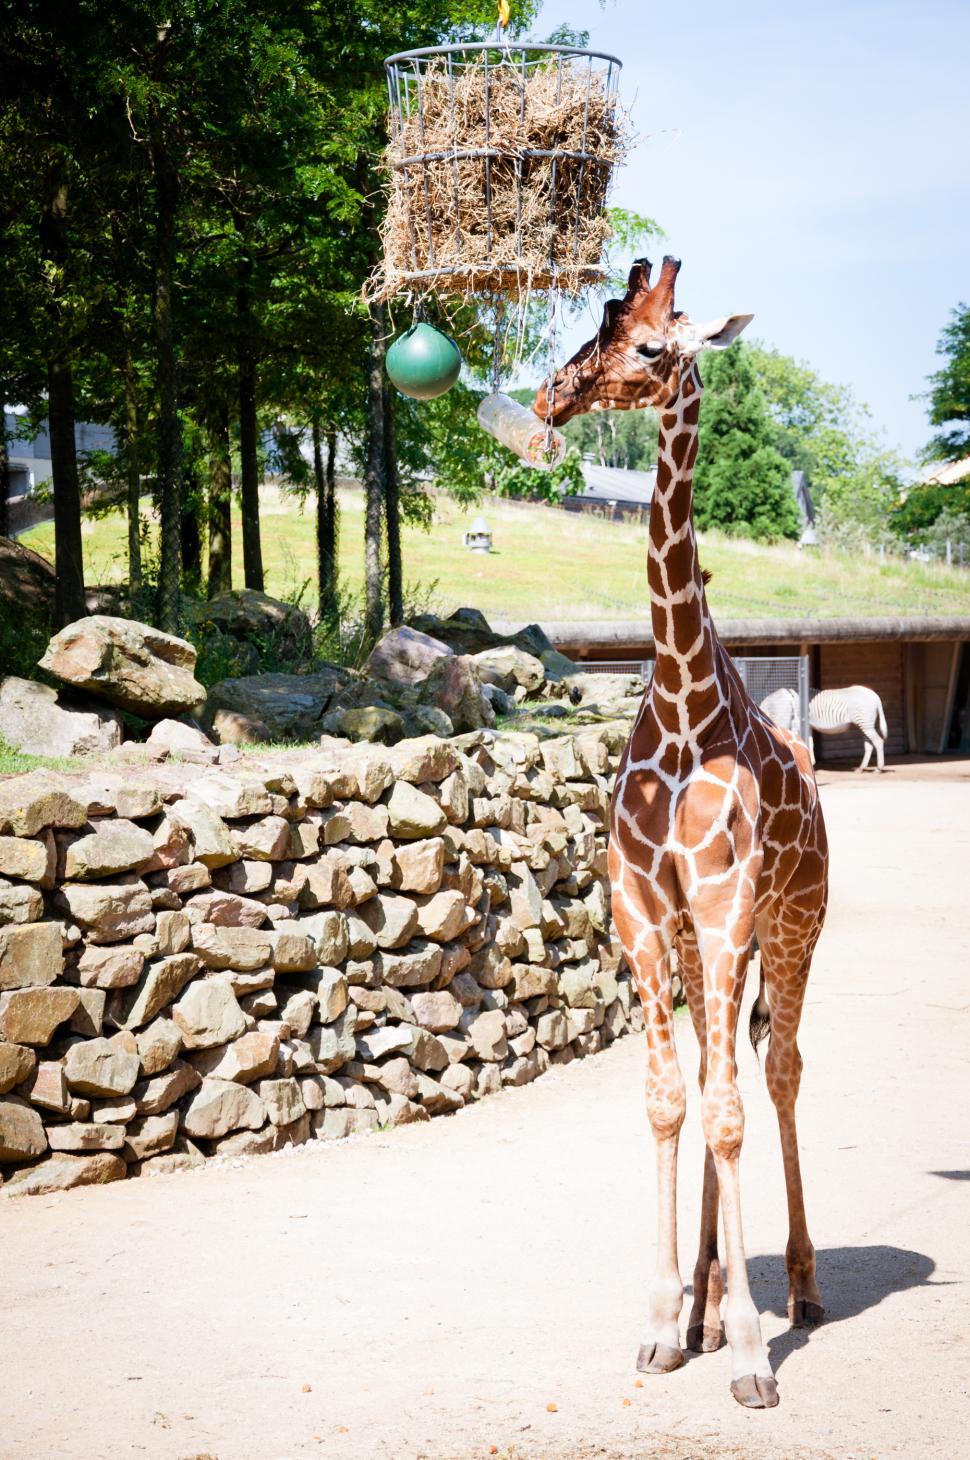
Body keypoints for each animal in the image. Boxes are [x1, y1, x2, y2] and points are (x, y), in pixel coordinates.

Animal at [535, 256, 829, 1410]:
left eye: (657, 347)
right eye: (599, 324)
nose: (552, 396)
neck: (677, 694)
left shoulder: (725, 901)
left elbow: (731, 1108)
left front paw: (749, 1354)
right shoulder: (643, 910)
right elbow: (671, 1103)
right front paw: (665, 1321)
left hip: (790, 927)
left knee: (778, 1070)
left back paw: (794, 1293)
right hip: (720, 944)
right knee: (719, 1072)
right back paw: (706, 1304)